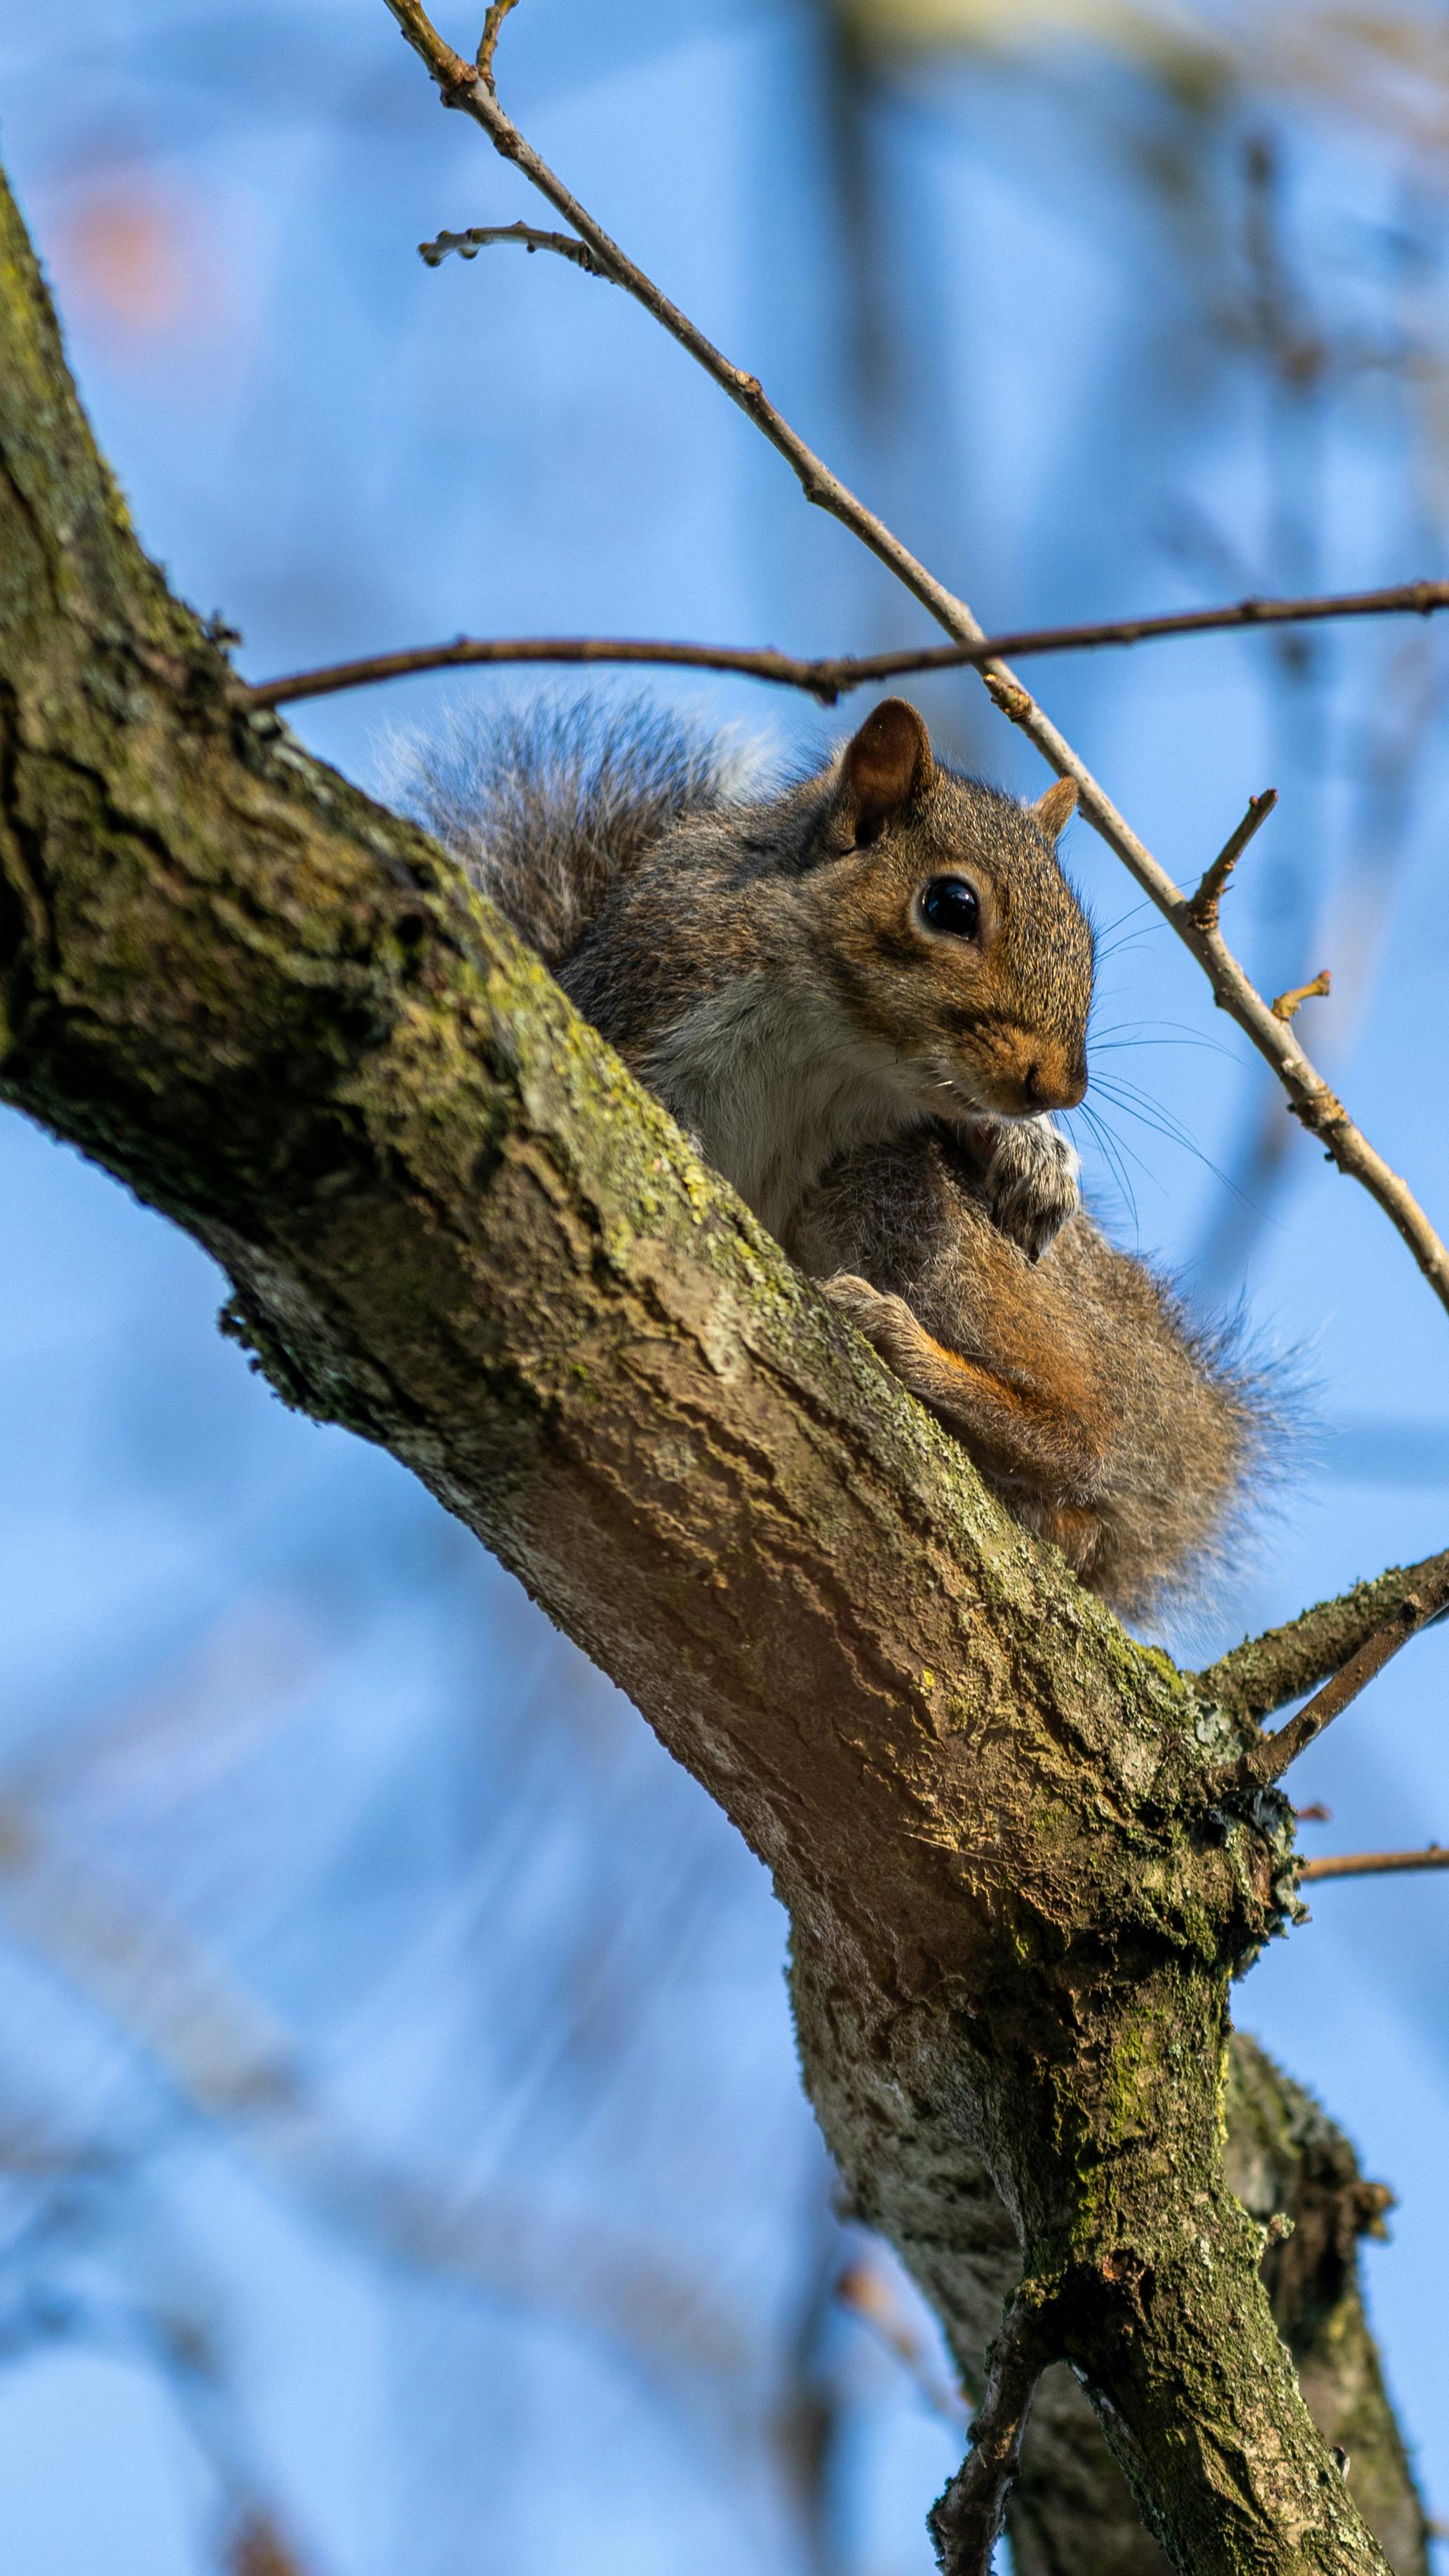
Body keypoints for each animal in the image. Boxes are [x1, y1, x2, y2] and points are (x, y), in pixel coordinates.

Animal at [402, 693, 1262, 1619]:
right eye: (951, 905)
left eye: (1084, 937)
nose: (1060, 1087)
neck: (838, 1044)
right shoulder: (651, 981)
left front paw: (1037, 1154)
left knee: (1085, 1435)